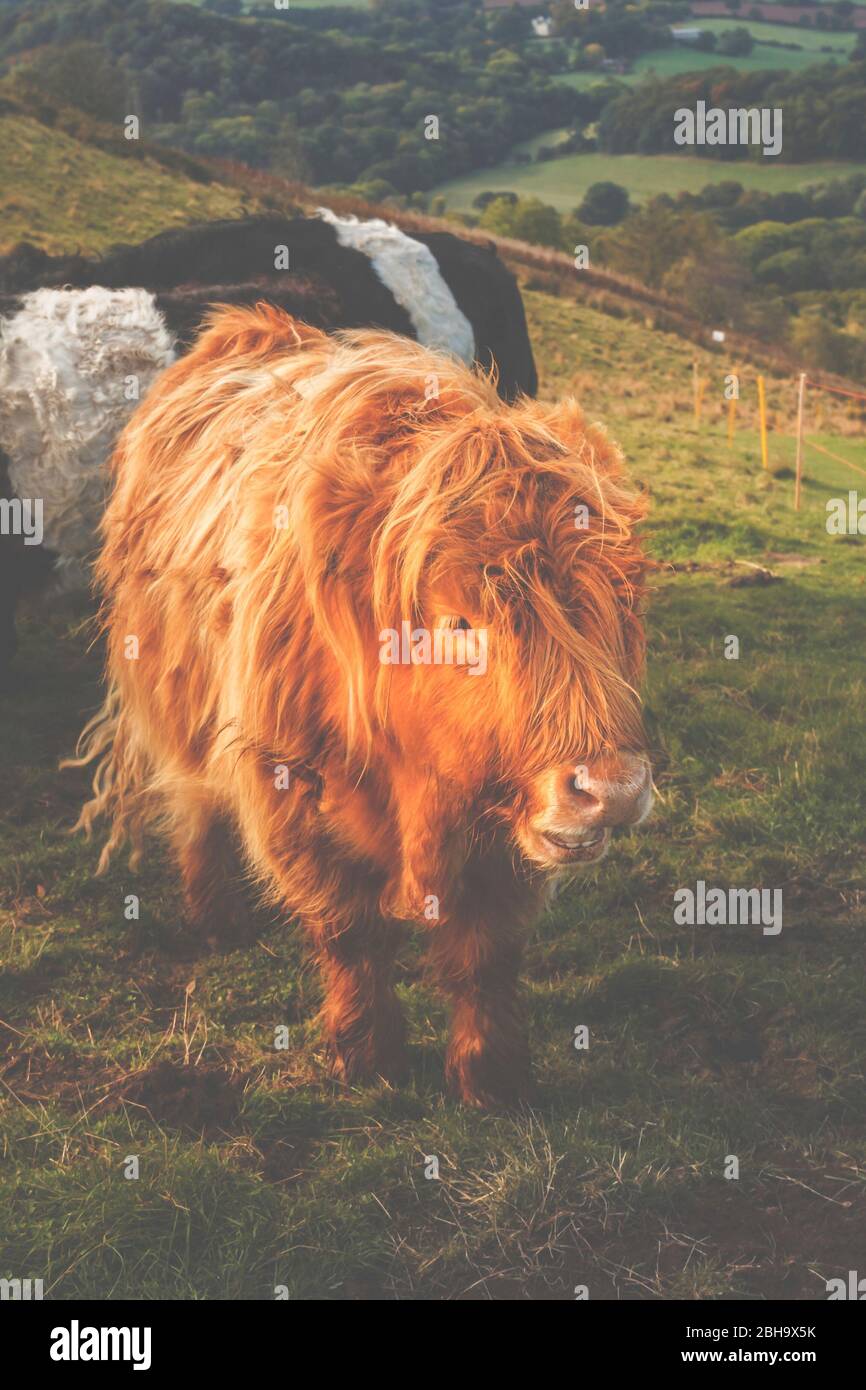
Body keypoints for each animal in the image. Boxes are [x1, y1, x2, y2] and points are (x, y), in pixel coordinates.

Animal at [66, 304, 651, 1108]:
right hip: (172, 702)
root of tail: (246, 327)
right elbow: (351, 937)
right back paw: (216, 919)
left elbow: (485, 956)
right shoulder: (294, 797)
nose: (612, 790)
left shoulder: (505, 836)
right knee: (194, 806)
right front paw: (368, 1059)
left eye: (618, 606)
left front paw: (490, 1080)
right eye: (461, 622)